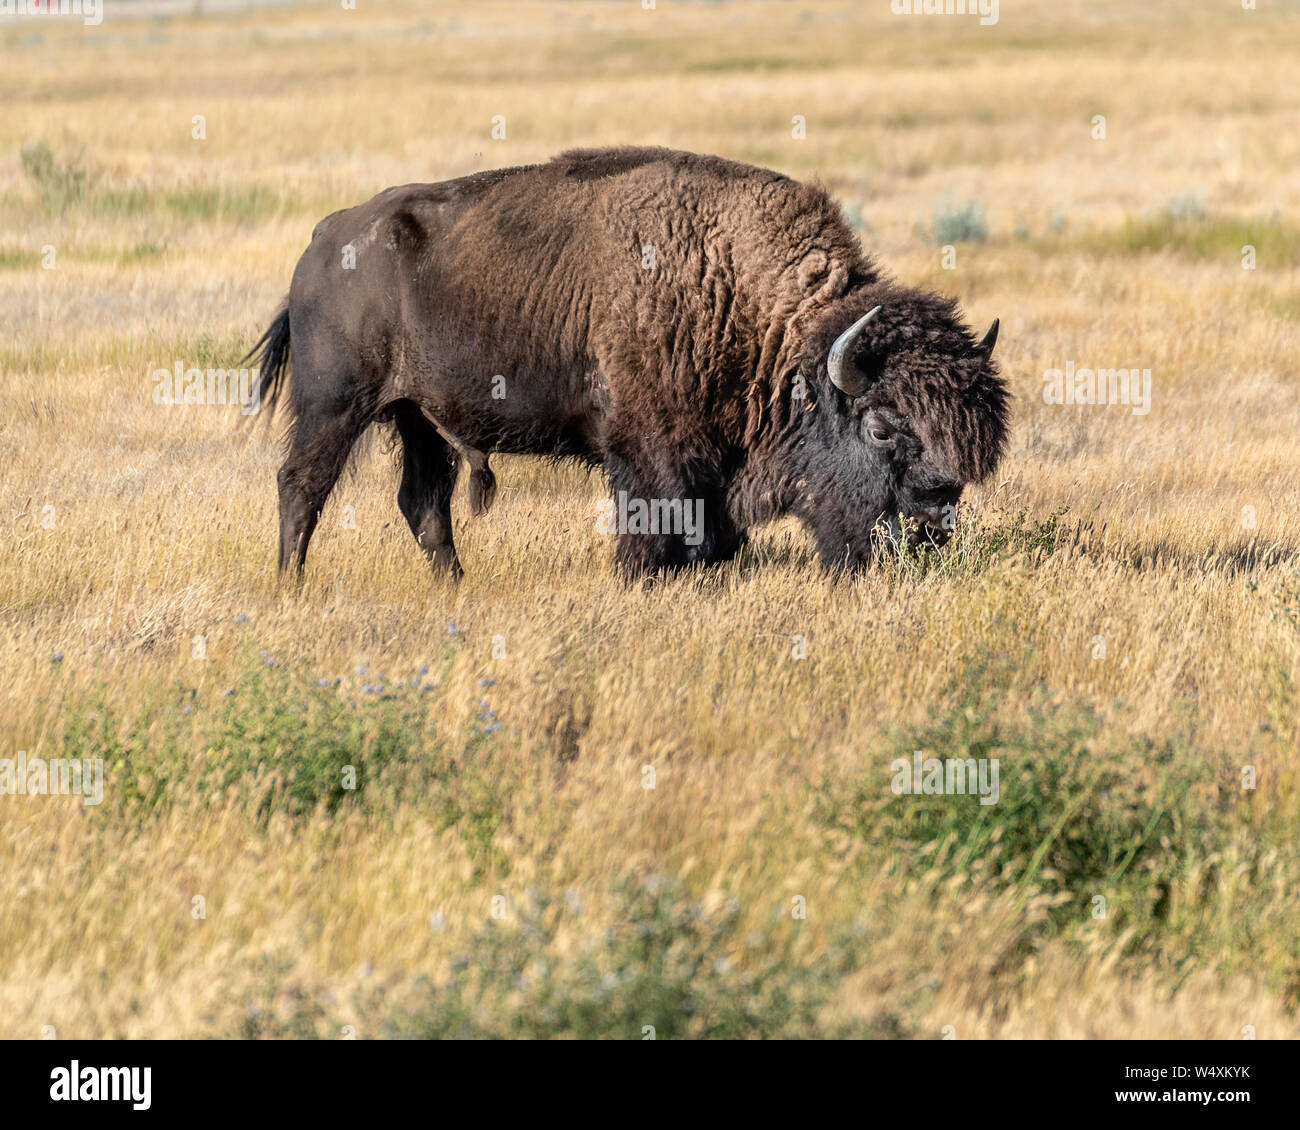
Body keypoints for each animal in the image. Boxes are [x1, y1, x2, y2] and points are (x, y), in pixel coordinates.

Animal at [246, 146, 1008, 579]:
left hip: (419, 418)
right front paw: (646, 577)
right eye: (880, 428)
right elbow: (657, 522)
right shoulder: (650, 451)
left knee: (423, 501)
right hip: (336, 404)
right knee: (302, 485)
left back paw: (454, 586)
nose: (931, 530)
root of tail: (324, 240)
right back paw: (290, 586)